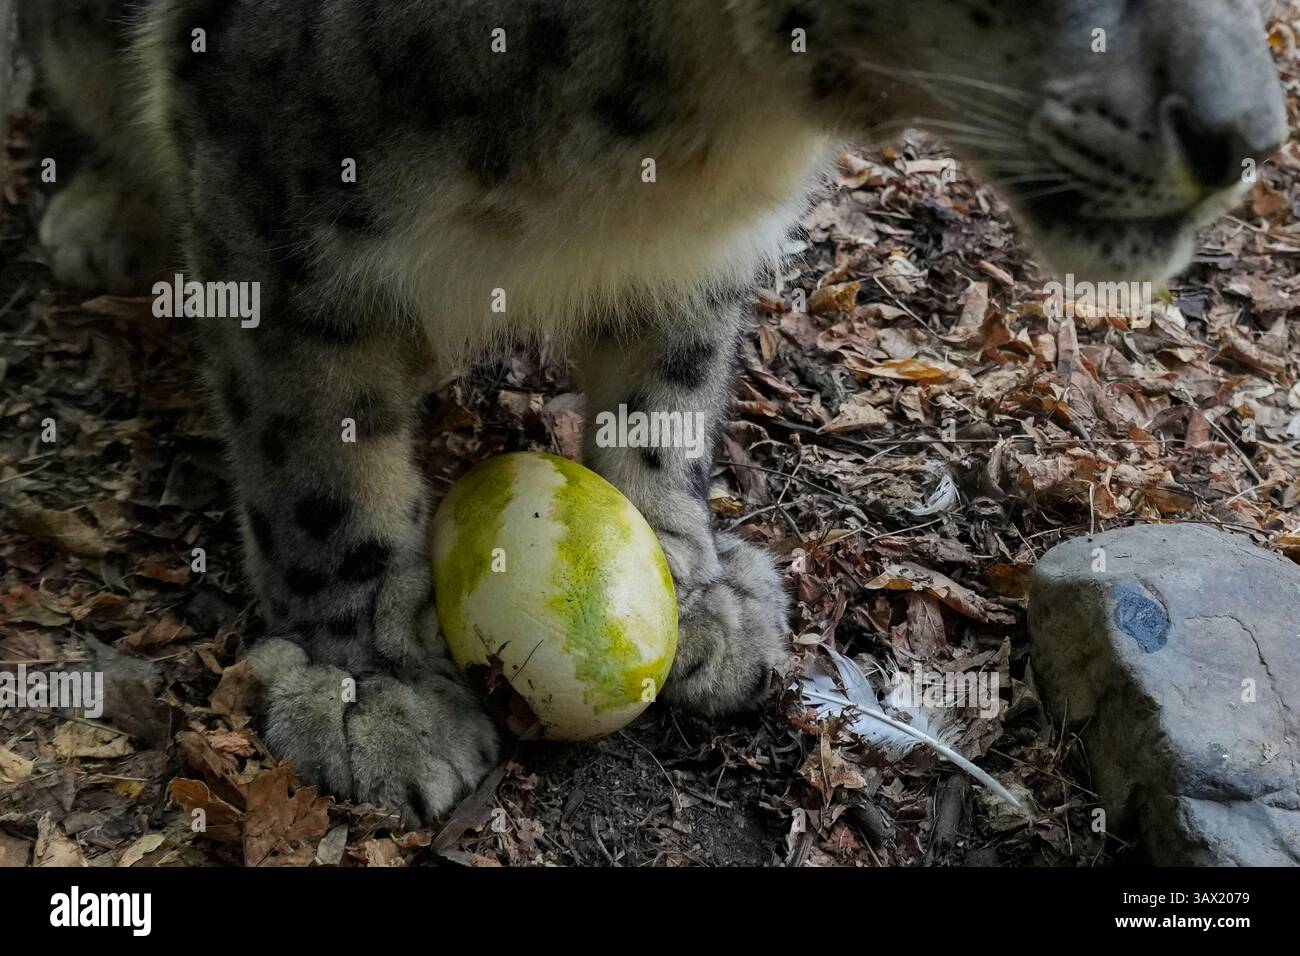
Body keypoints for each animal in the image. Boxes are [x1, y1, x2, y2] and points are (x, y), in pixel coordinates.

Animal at [17, 0, 1288, 828]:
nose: (1247, 140)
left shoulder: (697, 253)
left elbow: (667, 393)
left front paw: (693, 577)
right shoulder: (282, 209)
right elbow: (317, 455)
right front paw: (366, 688)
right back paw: (95, 218)